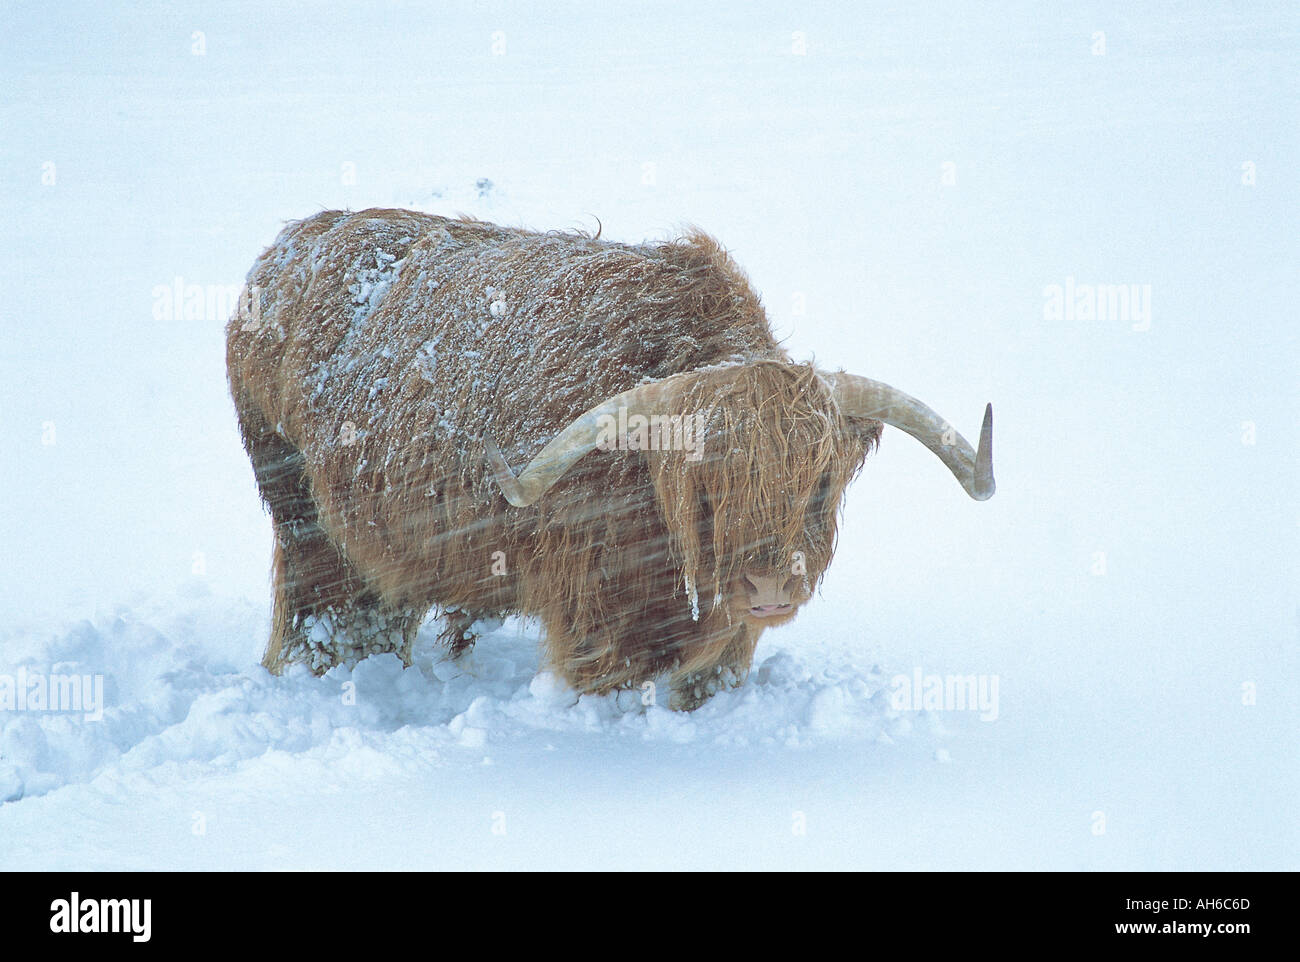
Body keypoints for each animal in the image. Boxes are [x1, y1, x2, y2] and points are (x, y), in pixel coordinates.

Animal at [226, 208, 994, 709]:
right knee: (323, 608)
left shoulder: (725, 639)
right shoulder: (594, 612)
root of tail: (280, 251)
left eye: (821, 479)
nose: (771, 584)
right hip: (298, 509)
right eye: (707, 483)